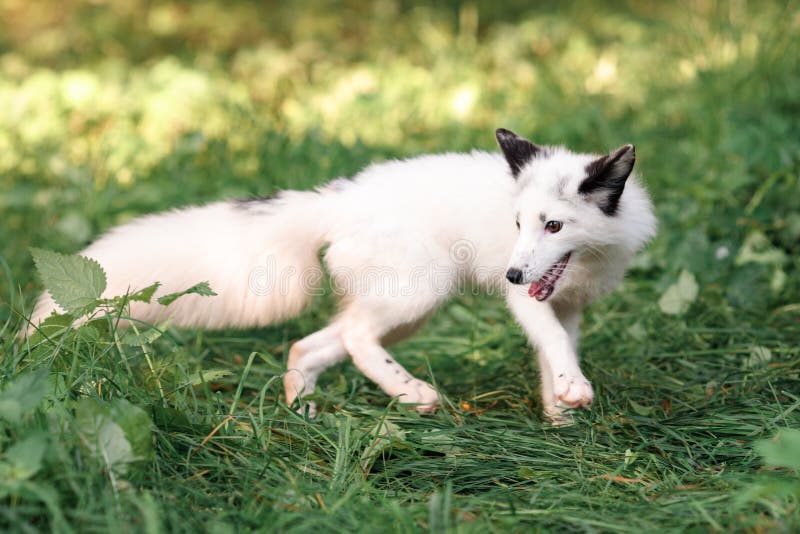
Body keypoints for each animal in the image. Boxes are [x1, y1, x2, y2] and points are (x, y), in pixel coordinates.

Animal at [28, 129, 656, 422]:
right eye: (518, 223)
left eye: (553, 225)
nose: (511, 271)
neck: (586, 261)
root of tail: (338, 199)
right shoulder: (529, 300)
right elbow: (550, 340)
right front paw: (571, 395)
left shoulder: (567, 304)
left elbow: (556, 349)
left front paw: (559, 415)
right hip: (420, 295)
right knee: (355, 337)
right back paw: (411, 393)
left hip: (402, 307)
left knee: (311, 344)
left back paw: (303, 409)